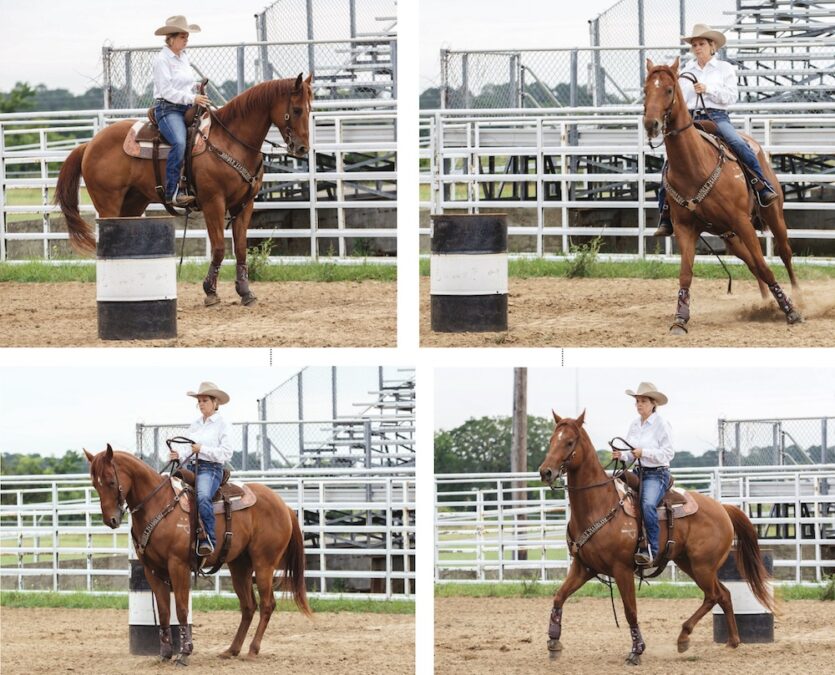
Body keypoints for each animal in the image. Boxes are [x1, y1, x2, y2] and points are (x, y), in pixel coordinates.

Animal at [56, 74, 313, 306]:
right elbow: (219, 248)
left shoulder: (244, 204)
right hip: (108, 204)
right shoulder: (213, 202)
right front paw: (210, 292)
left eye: (310, 109)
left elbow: (240, 249)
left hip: (133, 203)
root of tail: (89, 144)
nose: (302, 148)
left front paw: (245, 292)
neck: (232, 141)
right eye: (297, 110)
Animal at [84, 445, 311, 664]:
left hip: (264, 563)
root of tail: (284, 505)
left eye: (111, 481)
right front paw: (165, 654)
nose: (111, 520)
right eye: (95, 484)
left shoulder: (178, 566)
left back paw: (253, 650)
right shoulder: (152, 570)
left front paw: (184, 653)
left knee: (267, 604)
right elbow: (164, 612)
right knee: (248, 606)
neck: (158, 503)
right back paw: (232, 650)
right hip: (239, 565)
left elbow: (182, 609)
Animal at [537, 411, 774, 666]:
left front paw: (637, 650)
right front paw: (553, 642)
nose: (545, 472)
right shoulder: (583, 567)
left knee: (713, 595)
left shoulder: (622, 569)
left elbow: (630, 610)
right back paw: (732, 641)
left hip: (703, 566)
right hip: (689, 564)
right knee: (724, 594)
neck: (599, 505)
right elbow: (559, 597)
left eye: (569, 442)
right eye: (551, 440)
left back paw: (684, 637)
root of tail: (722, 508)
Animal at [642, 58, 802, 333]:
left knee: (784, 252)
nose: (651, 124)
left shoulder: (741, 221)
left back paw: (797, 297)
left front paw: (790, 311)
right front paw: (680, 319)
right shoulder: (685, 227)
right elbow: (686, 273)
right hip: (729, 236)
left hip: (772, 215)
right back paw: (765, 303)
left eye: (669, 90)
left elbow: (765, 266)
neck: (694, 165)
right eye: (645, 90)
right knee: (751, 262)